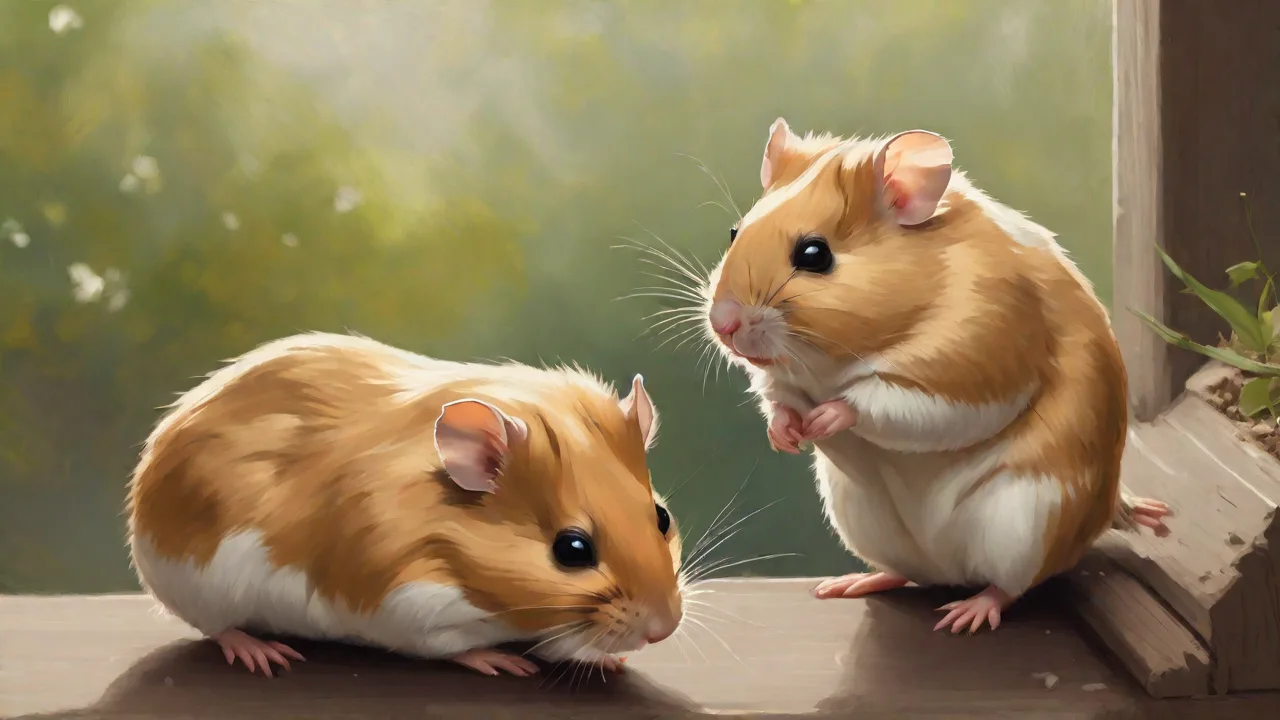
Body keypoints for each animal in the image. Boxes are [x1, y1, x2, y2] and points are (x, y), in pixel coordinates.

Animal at [126, 332, 683, 677]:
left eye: (662, 517)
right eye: (571, 549)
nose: (664, 631)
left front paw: (608, 661)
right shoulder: (404, 602)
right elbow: (452, 646)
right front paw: (500, 660)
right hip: (203, 587)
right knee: (217, 629)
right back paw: (261, 652)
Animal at [698, 118, 1170, 633]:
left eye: (813, 254)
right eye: (734, 232)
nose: (723, 324)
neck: (831, 361)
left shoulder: (973, 363)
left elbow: (889, 403)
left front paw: (825, 418)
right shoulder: (782, 381)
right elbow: (777, 398)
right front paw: (785, 435)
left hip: (1025, 520)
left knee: (1010, 586)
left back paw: (966, 614)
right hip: (863, 519)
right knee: (904, 572)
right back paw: (848, 583)